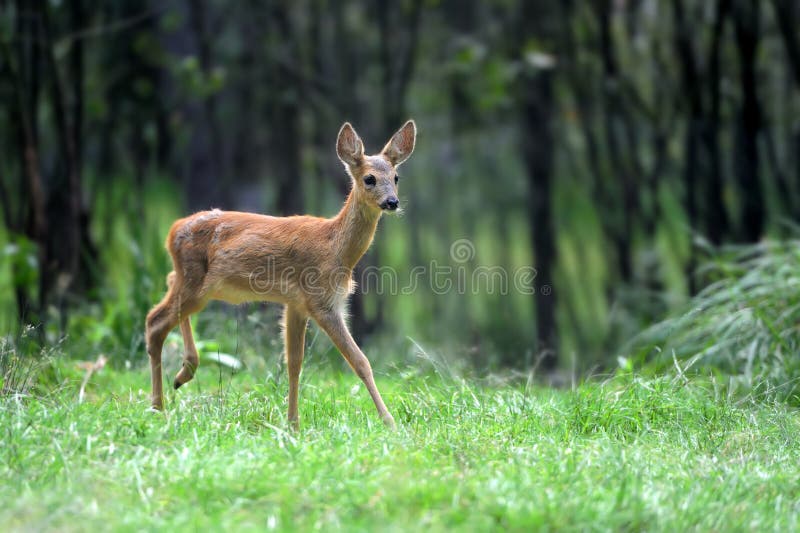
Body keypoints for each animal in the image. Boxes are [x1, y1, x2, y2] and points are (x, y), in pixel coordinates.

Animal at [145, 120, 416, 429]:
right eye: (369, 178)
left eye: (396, 177)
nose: (392, 202)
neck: (334, 247)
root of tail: (172, 230)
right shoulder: (321, 302)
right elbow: (360, 362)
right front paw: (390, 421)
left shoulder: (296, 304)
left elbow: (294, 363)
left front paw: (293, 424)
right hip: (195, 283)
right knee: (154, 321)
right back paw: (158, 406)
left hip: (195, 283)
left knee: (166, 288)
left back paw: (183, 374)